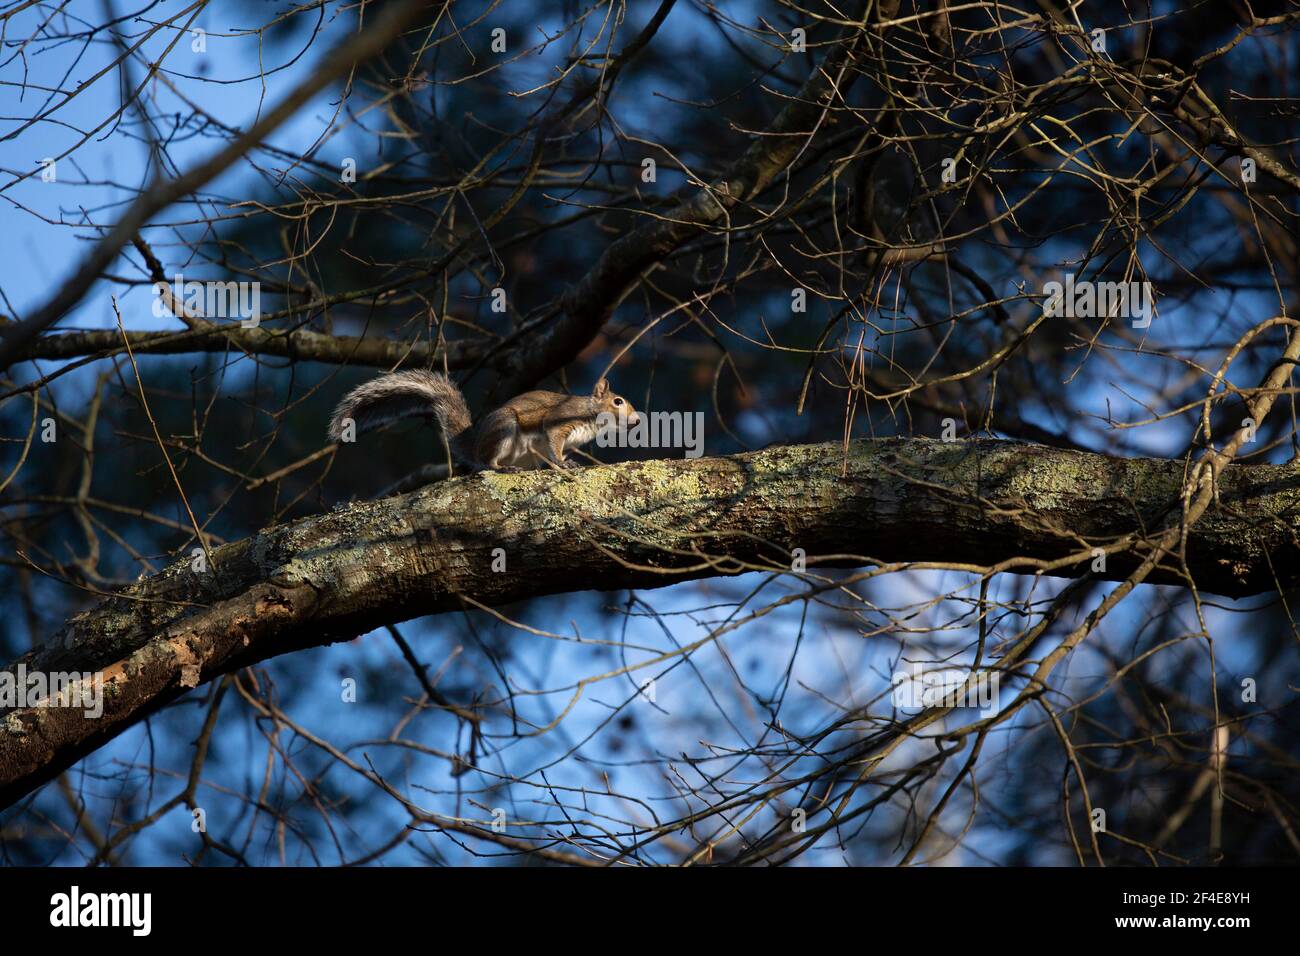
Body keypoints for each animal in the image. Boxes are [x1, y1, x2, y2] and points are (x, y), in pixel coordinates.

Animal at [327, 369, 640, 472]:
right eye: (618, 401)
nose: (637, 421)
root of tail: (475, 445)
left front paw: (562, 463)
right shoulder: (559, 421)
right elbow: (553, 444)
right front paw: (564, 463)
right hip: (504, 430)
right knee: (487, 464)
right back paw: (502, 468)